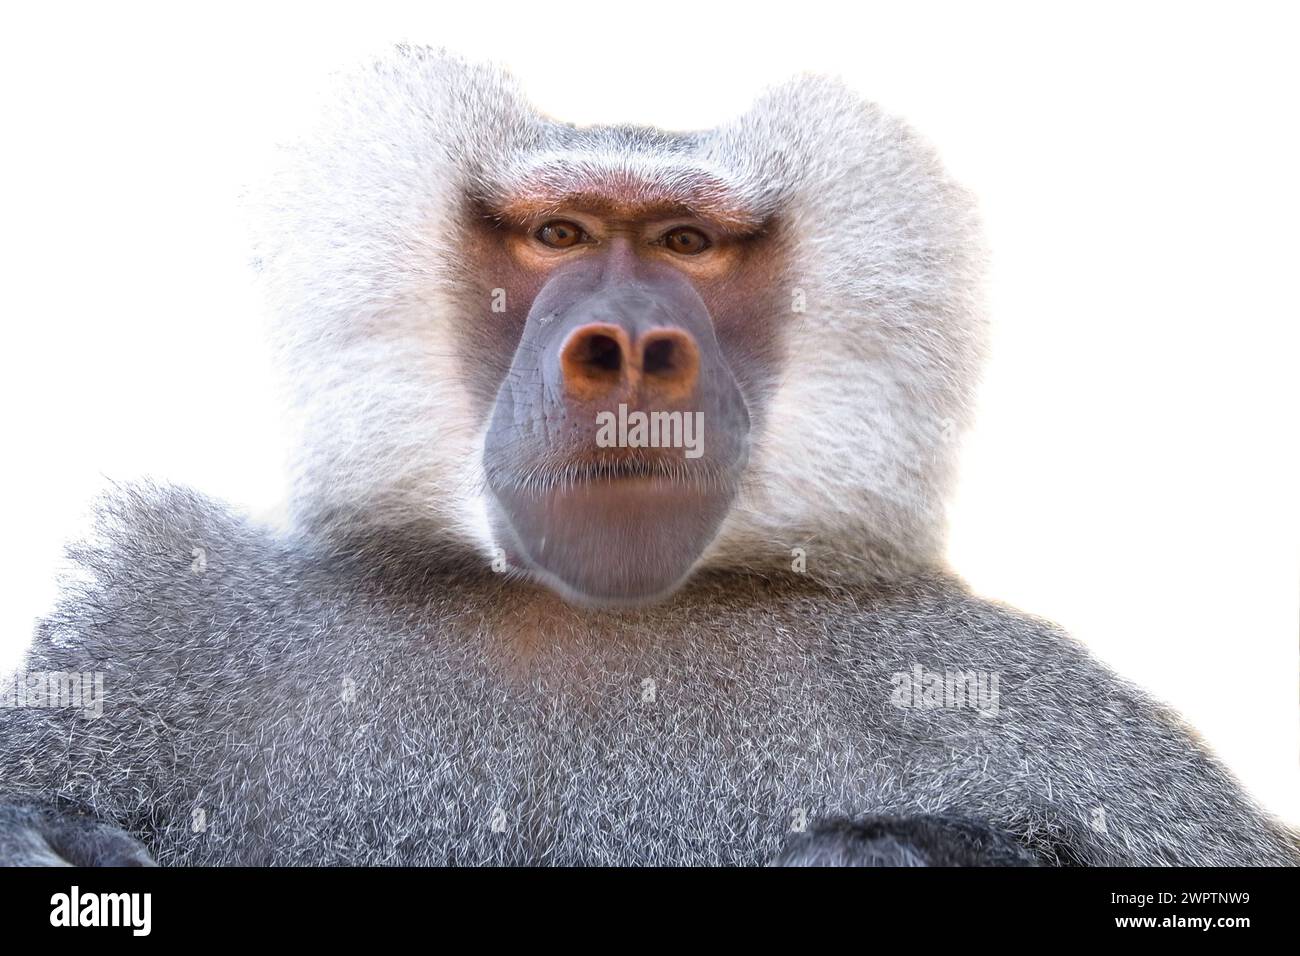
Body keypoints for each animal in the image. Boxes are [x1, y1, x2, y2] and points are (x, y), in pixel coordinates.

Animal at [0, 47, 1295, 867]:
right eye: (559, 232)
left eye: (685, 243)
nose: (626, 347)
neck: (579, 621)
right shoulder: (168, 623)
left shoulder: (1019, 696)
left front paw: (892, 855)